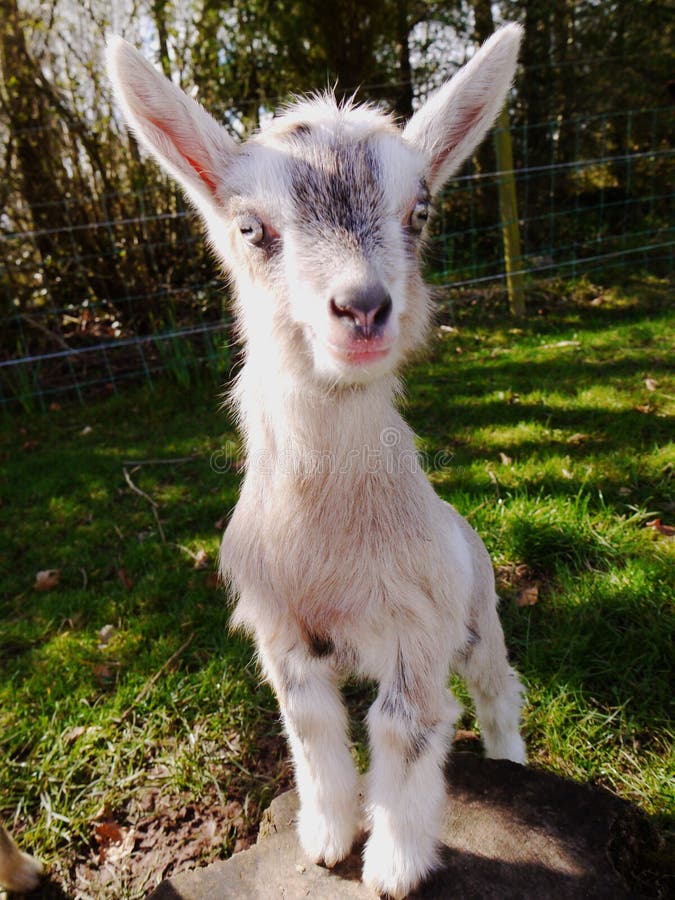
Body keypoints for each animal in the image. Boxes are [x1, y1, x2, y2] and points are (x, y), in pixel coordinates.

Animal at [108, 25, 526, 898]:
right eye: (249, 229)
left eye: (419, 211)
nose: (363, 308)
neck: (326, 535)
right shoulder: (282, 634)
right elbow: (312, 730)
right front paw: (328, 839)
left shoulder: (417, 630)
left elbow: (404, 733)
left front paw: (393, 866)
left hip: (481, 614)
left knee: (498, 691)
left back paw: (512, 760)